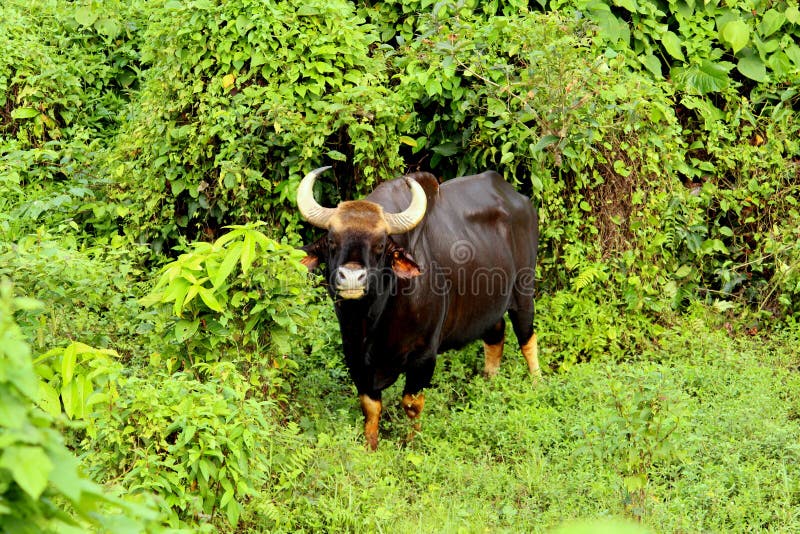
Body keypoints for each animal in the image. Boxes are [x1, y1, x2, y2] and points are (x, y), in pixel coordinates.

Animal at [298, 166, 539, 449]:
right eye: (331, 241)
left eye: (381, 244)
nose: (351, 278)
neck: (375, 319)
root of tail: (518, 198)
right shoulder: (355, 355)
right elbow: (370, 405)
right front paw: (370, 446)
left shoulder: (424, 356)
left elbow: (411, 404)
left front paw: (413, 442)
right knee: (495, 333)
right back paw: (489, 382)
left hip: (524, 291)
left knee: (526, 337)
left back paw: (538, 385)